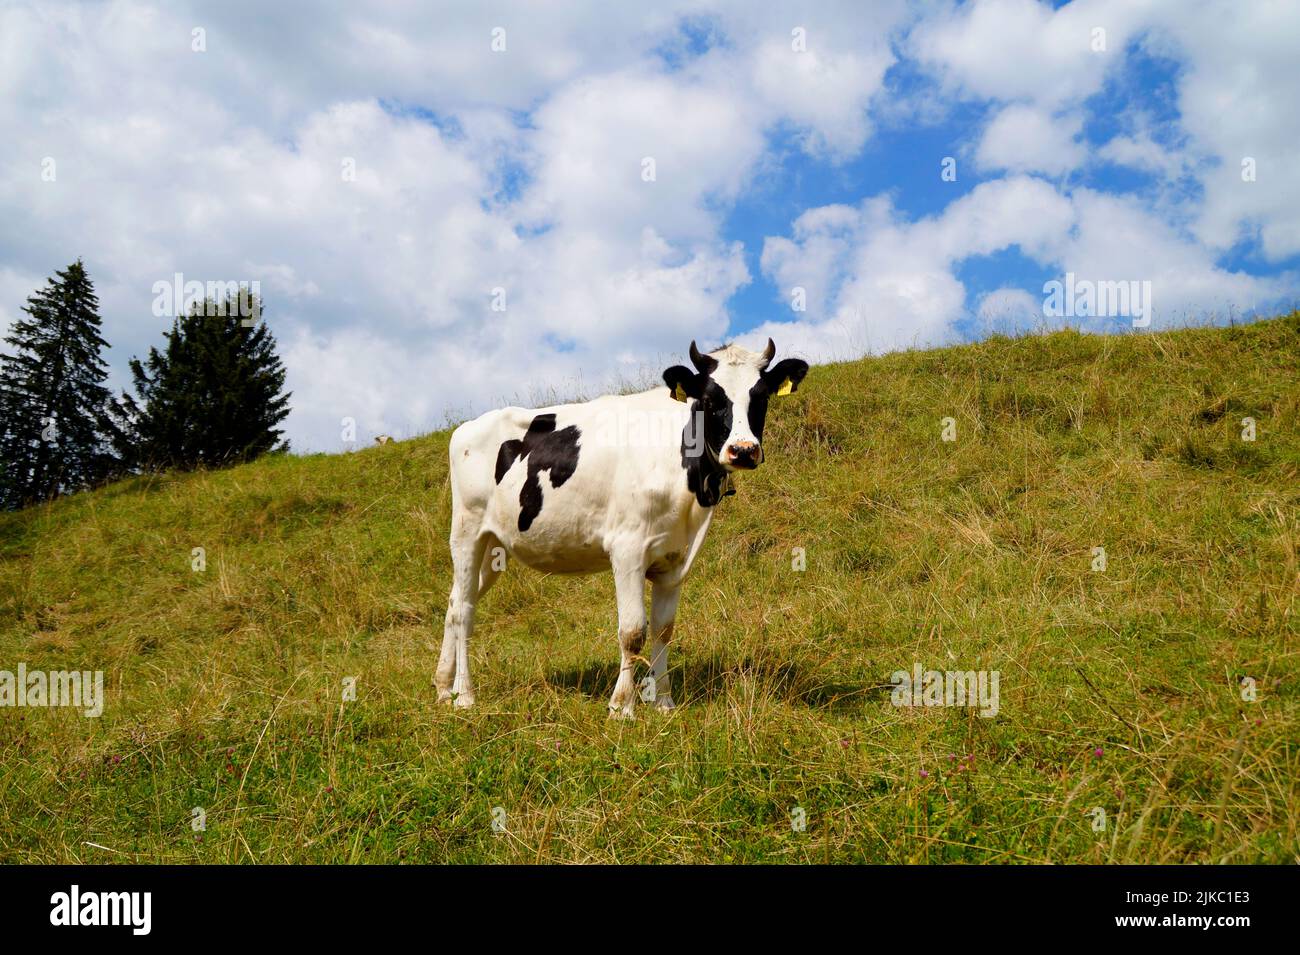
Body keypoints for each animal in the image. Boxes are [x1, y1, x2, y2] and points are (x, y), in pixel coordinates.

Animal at [437, 338, 809, 717]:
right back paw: (465, 695)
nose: (743, 450)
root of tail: (466, 427)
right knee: (464, 610)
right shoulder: (627, 549)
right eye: (709, 399)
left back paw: (443, 688)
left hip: (494, 546)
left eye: (761, 396)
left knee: (455, 602)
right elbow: (632, 631)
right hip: (467, 531)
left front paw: (664, 702)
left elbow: (663, 629)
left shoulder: (675, 558)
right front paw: (621, 707)